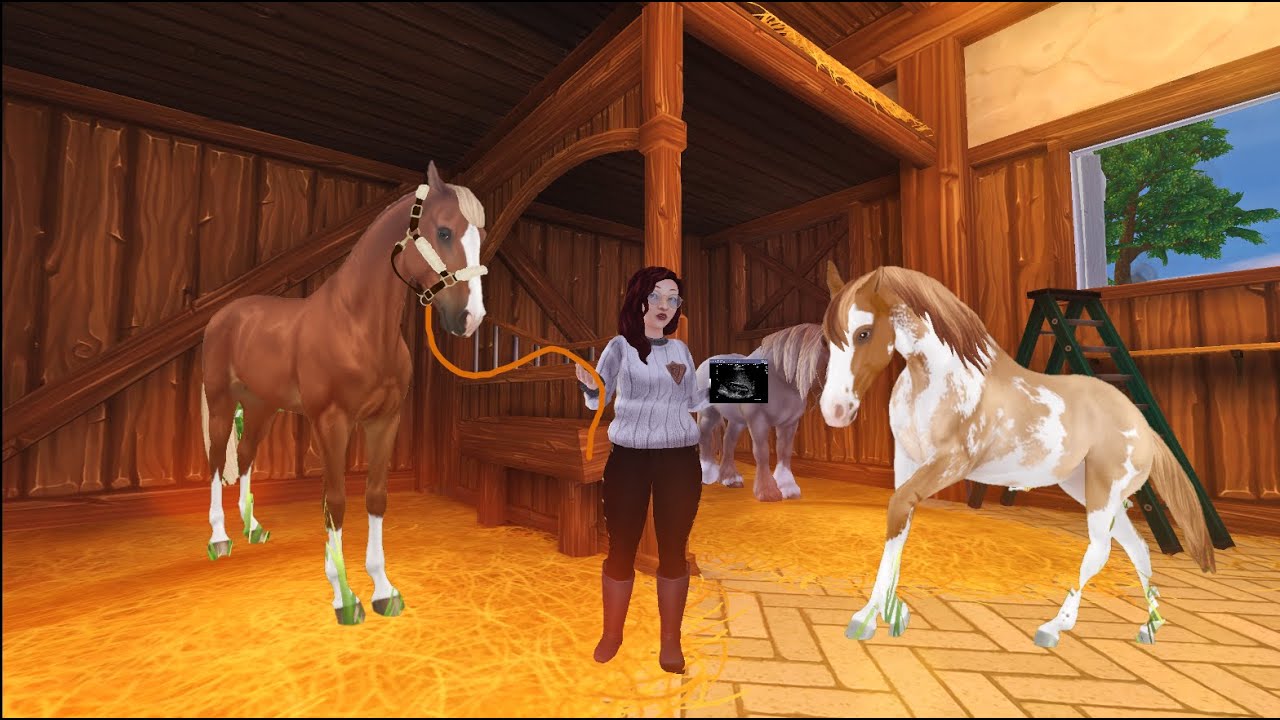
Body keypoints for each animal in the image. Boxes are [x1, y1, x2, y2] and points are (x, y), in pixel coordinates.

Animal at [199, 162, 488, 625]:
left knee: (244, 457)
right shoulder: (331, 422)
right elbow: (334, 502)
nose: (470, 318)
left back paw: (253, 529)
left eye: (480, 236)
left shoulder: (384, 422)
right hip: (222, 402)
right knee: (213, 461)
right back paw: (220, 539)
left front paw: (384, 591)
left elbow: (375, 497)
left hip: (262, 407)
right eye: (444, 232)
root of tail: (224, 315)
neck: (359, 327)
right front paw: (344, 597)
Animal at [695, 323, 828, 502]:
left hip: (737, 421)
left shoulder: (789, 423)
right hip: (708, 414)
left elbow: (784, 452)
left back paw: (730, 478)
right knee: (705, 438)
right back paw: (708, 475)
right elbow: (762, 452)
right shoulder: (758, 420)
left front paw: (788, 487)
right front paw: (767, 492)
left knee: (728, 441)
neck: (779, 380)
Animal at [817, 263, 1215, 648]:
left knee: (1101, 551)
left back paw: (1054, 627)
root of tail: (1142, 424)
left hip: (1104, 492)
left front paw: (871, 616)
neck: (934, 384)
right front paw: (883, 613)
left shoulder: (950, 463)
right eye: (827, 339)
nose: (834, 411)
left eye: (864, 333)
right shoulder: (907, 462)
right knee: (1138, 548)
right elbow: (899, 528)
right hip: (1089, 490)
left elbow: (897, 509)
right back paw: (1150, 628)